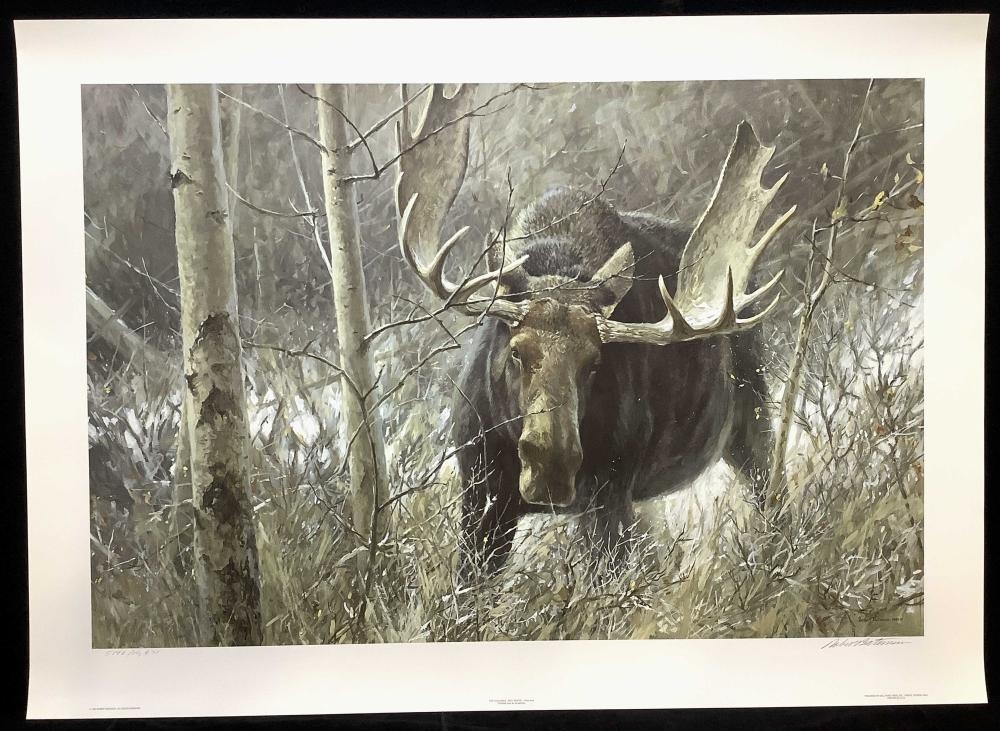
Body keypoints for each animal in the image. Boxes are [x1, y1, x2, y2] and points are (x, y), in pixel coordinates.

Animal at [394, 85, 795, 581]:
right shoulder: (480, 497)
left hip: (751, 418)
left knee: (773, 496)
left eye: (594, 363)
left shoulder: (609, 493)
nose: (552, 468)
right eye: (516, 351)